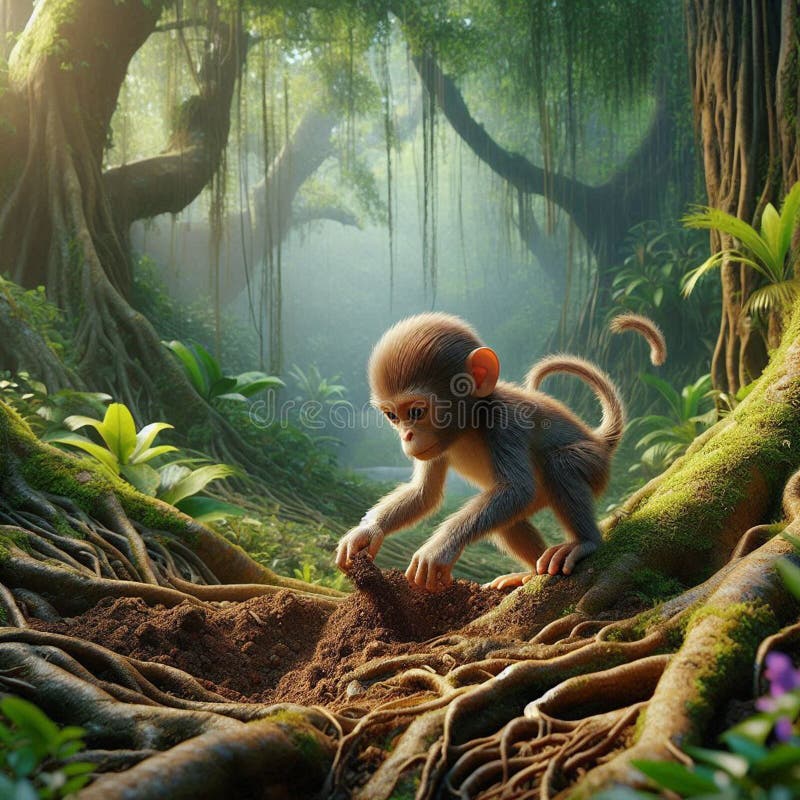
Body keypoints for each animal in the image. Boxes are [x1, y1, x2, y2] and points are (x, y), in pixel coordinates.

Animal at [335, 311, 666, 592]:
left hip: (594, 464)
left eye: (416, 412)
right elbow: (424, 494)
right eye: (393, 416)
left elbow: (516, 489)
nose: (407, 435)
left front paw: (439, 548)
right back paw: (529, 573)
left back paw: (584, 542)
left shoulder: (505, 422)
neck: (469, 425)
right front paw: (367, 532)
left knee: (559, 464)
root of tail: (599, 441)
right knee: (508, 519)